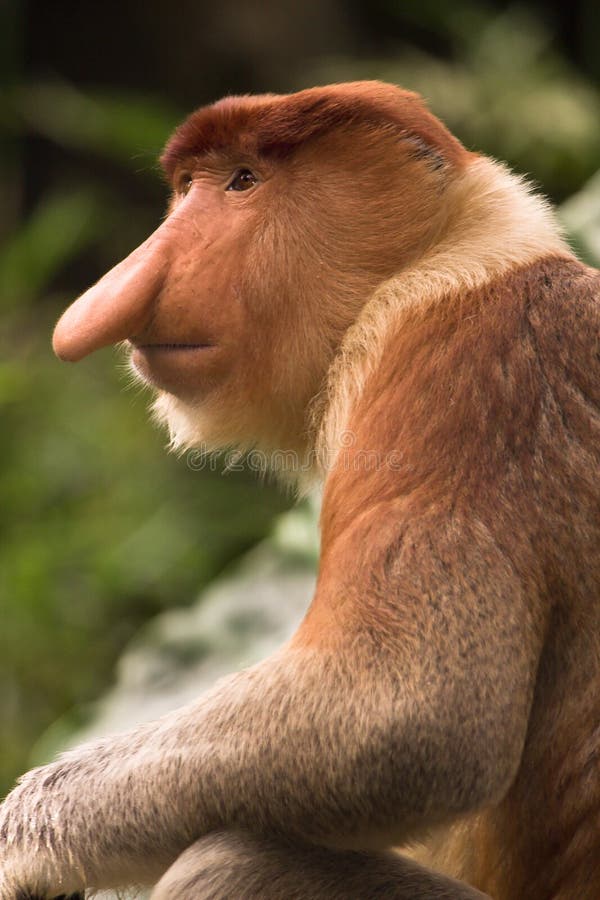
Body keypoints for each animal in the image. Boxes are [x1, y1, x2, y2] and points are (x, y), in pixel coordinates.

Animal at [1, 80, 599, 899]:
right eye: (187, 186)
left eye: (243, 181)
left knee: (235, 857)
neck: (451, 252)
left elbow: (410, 714)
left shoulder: (463, 370)